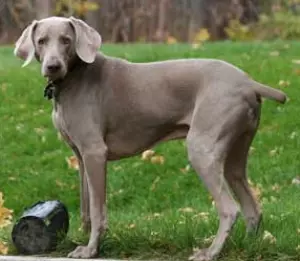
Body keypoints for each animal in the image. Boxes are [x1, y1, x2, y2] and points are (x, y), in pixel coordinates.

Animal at [13, 16, 286, 260]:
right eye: (41, 41)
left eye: (66, 40)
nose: (53, 66)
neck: (73, 78)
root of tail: (249, 83)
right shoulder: (81, 157)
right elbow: (86, 206)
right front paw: (85, 243)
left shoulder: (95, 152)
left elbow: (97, 209)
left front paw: (91, 250)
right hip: (234, 153)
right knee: (251, 206)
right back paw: (247, 246)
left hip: (203, 148)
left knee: (230, 208)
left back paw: (210, 252)